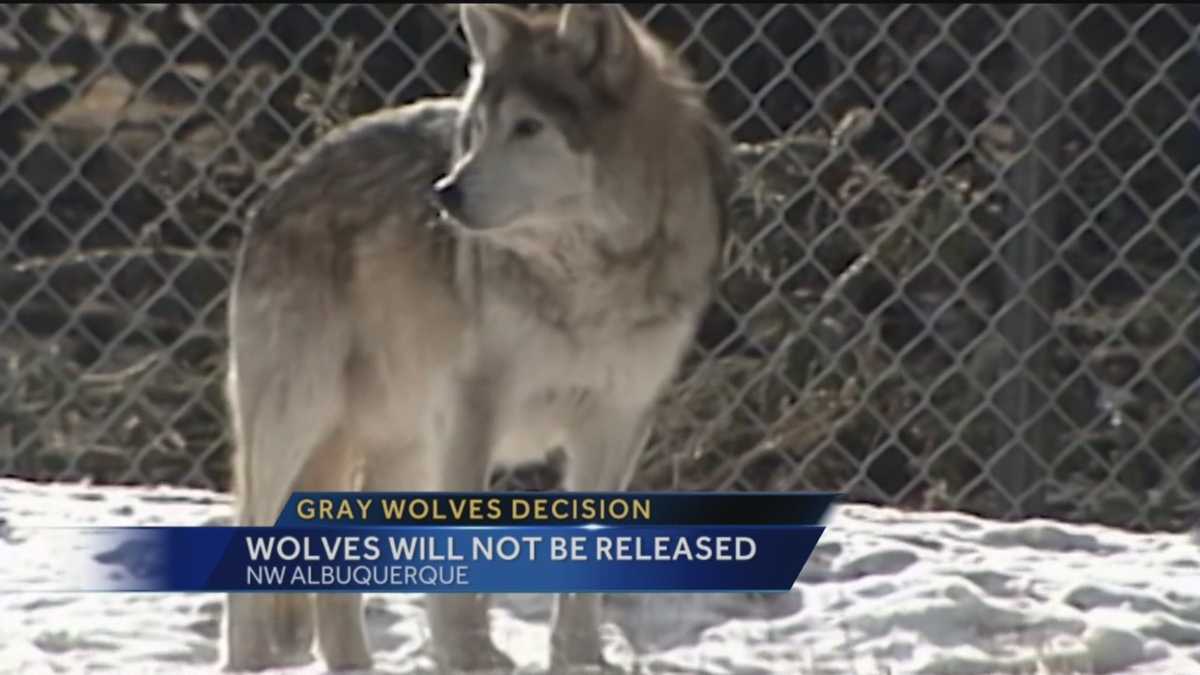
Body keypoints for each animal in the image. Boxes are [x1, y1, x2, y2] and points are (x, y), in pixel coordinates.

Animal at [221, 3, 736, 672]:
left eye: (528, 127)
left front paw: (579, 659)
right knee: (247, 541)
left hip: (403, 454)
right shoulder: (474, 413)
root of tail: (290, 176)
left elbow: (586, 568)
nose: (445, 193)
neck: (590, 279)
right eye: (480, 130)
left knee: (338, 584)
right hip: (298, 417)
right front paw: (471, 654)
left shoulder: (619, 420)